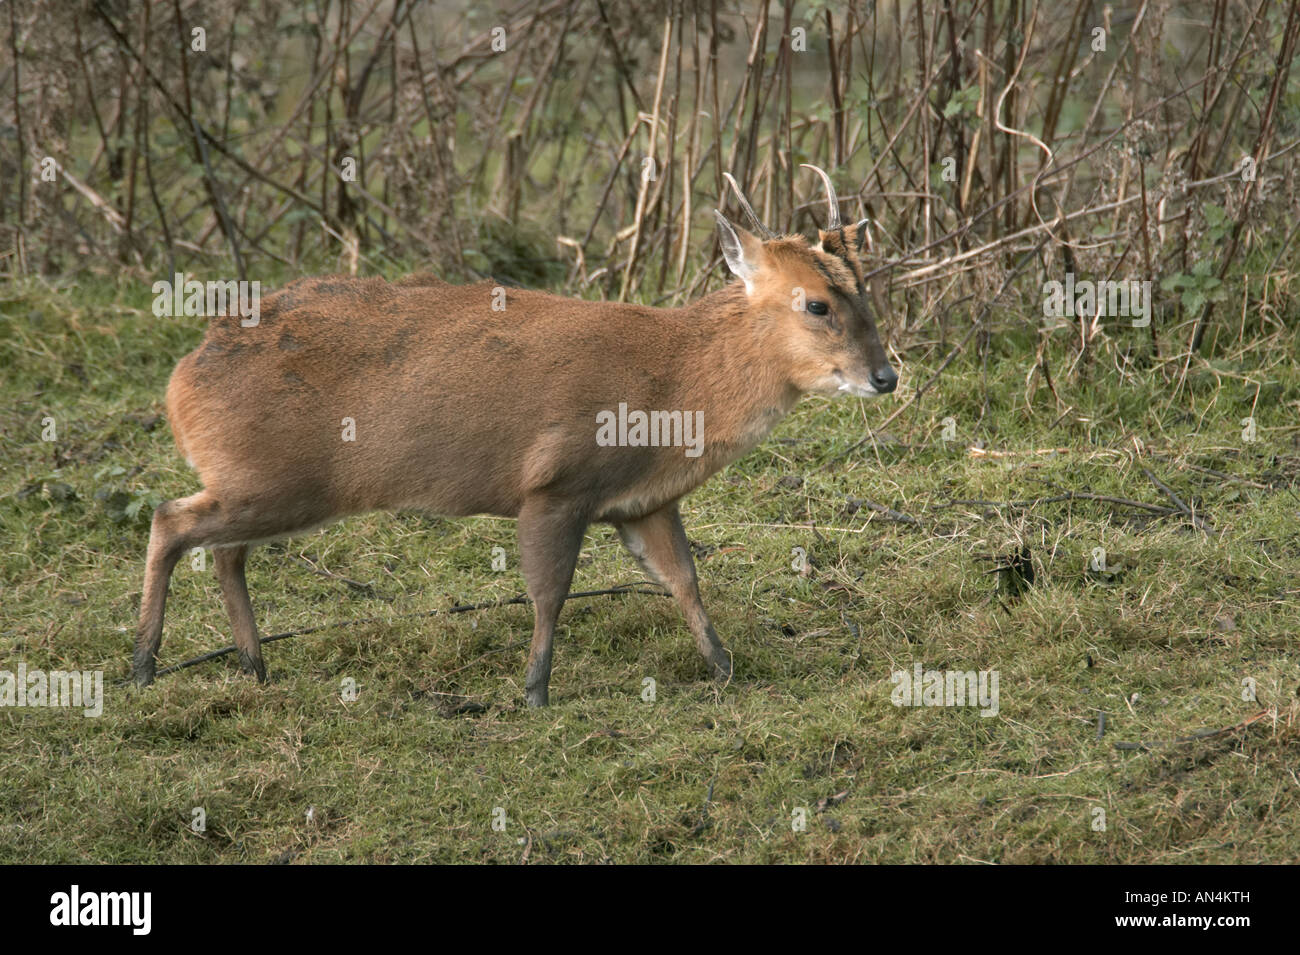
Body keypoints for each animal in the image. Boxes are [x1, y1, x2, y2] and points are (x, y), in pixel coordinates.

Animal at [132, 165, 898, 706]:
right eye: (816, 303)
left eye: (868, 291)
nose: (886, 375)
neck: (675, 385)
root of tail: (182, 378)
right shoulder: (555, 482)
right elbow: (549, 590)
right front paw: (534, 692)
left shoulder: (644, 501)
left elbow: (685, 580)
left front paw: (725, 667)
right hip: (277, 478)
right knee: (170, 519)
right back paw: (144, 666)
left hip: (262, 483)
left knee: (223, 551)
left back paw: (254, 666)